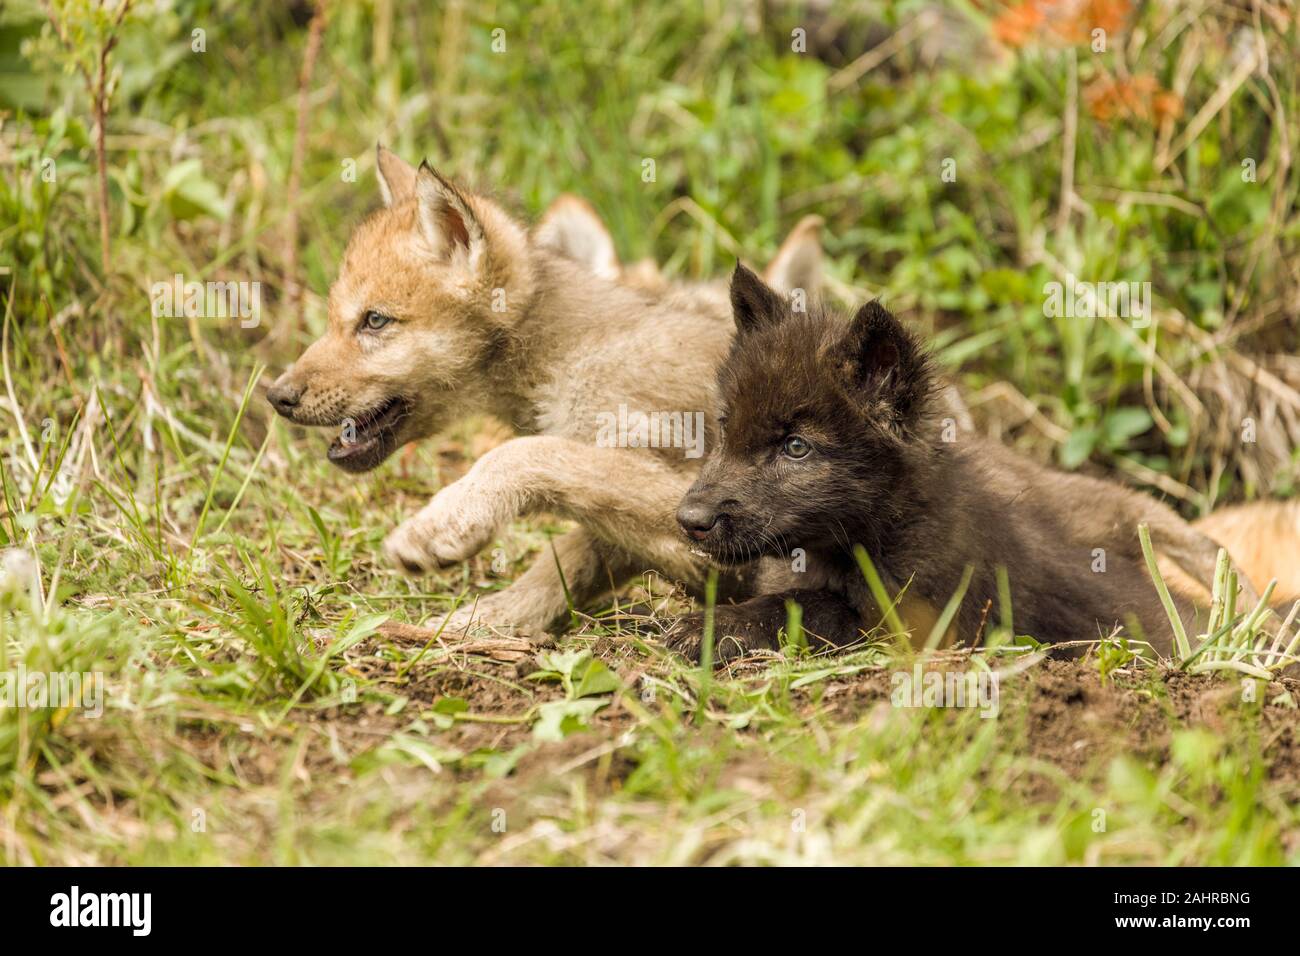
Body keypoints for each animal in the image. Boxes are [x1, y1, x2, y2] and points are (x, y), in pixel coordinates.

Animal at [668, 265, 1288, 662]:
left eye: (796, 447)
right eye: (725, 427)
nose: (688, 520)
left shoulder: (922, 620)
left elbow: (807, 607)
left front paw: (710, 629)